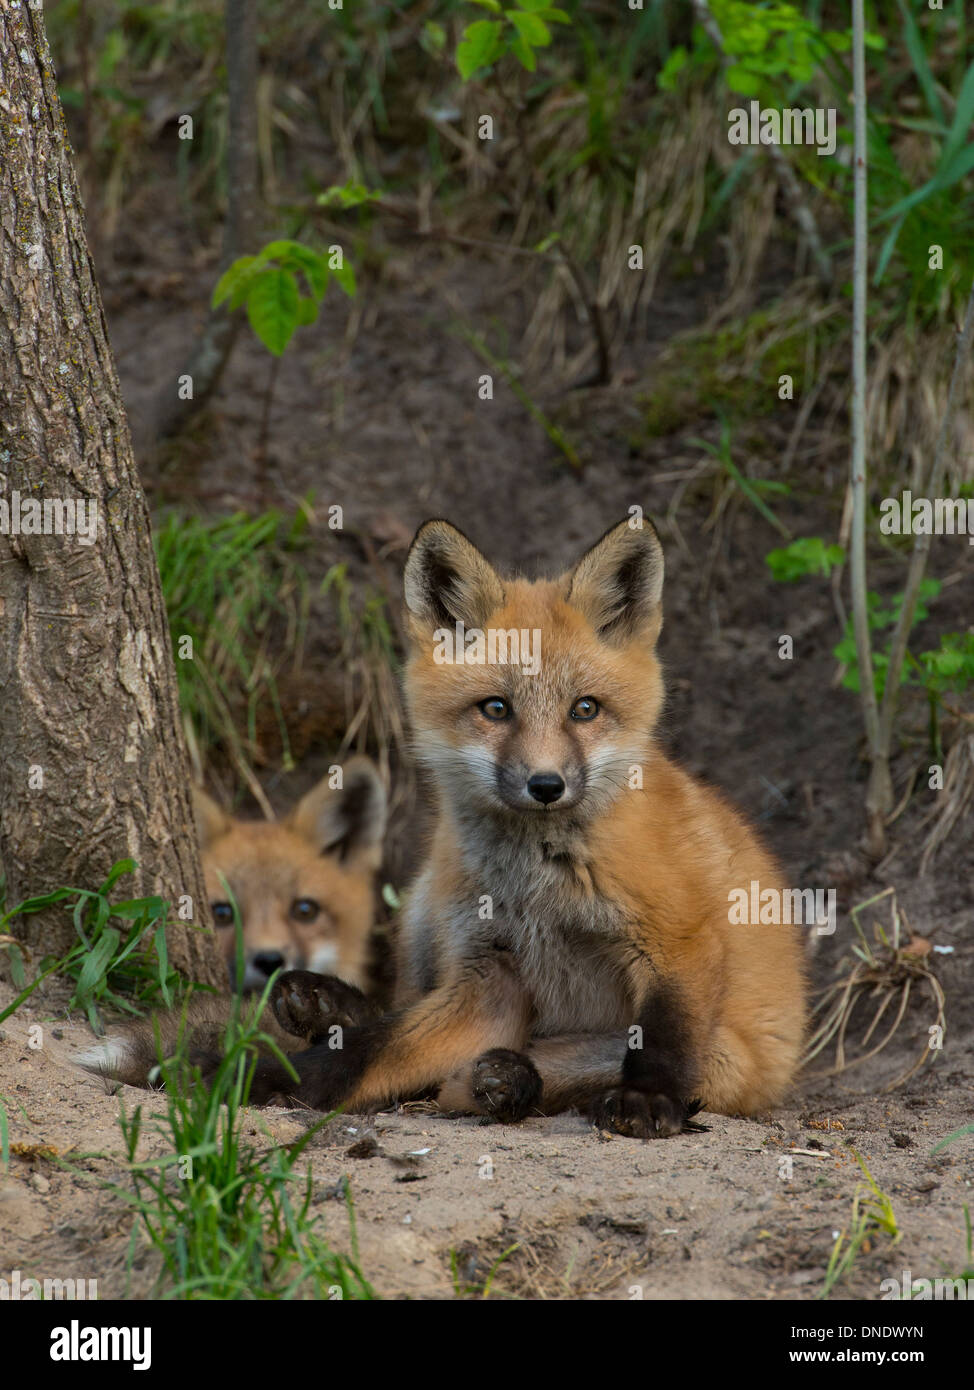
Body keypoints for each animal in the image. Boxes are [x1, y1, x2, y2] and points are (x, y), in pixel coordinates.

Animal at [174, 514, 808, 1137]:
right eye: (496, 709)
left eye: (585, 709)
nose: (546, 785)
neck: (539, 884)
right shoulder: (489, 973)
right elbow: (368, 1052)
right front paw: (257, 1078)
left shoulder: (677, 938)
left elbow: (662, 1038)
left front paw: (648, 1099)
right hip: (425, 907)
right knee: (406, 1010)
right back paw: (335, 1007)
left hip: (730, 1057)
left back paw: (511, 1081)